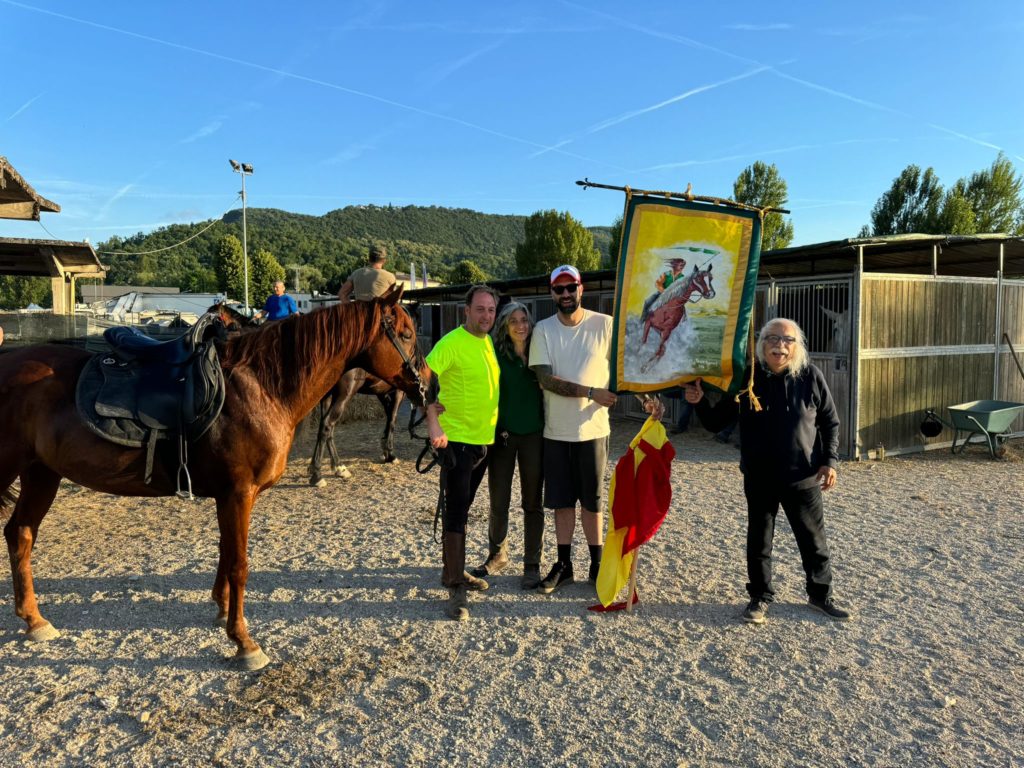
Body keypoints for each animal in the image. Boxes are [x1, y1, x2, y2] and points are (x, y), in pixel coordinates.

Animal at [0, 287, 427, 671]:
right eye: (406, 334)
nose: (428, 382)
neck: (259, 386)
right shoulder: (238, 493)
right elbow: (239, 563)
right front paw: (244, 642)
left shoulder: (230, 495)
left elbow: (225, 553)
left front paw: (222, 610)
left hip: (42, 474)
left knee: (20, 534)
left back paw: (34, 620)